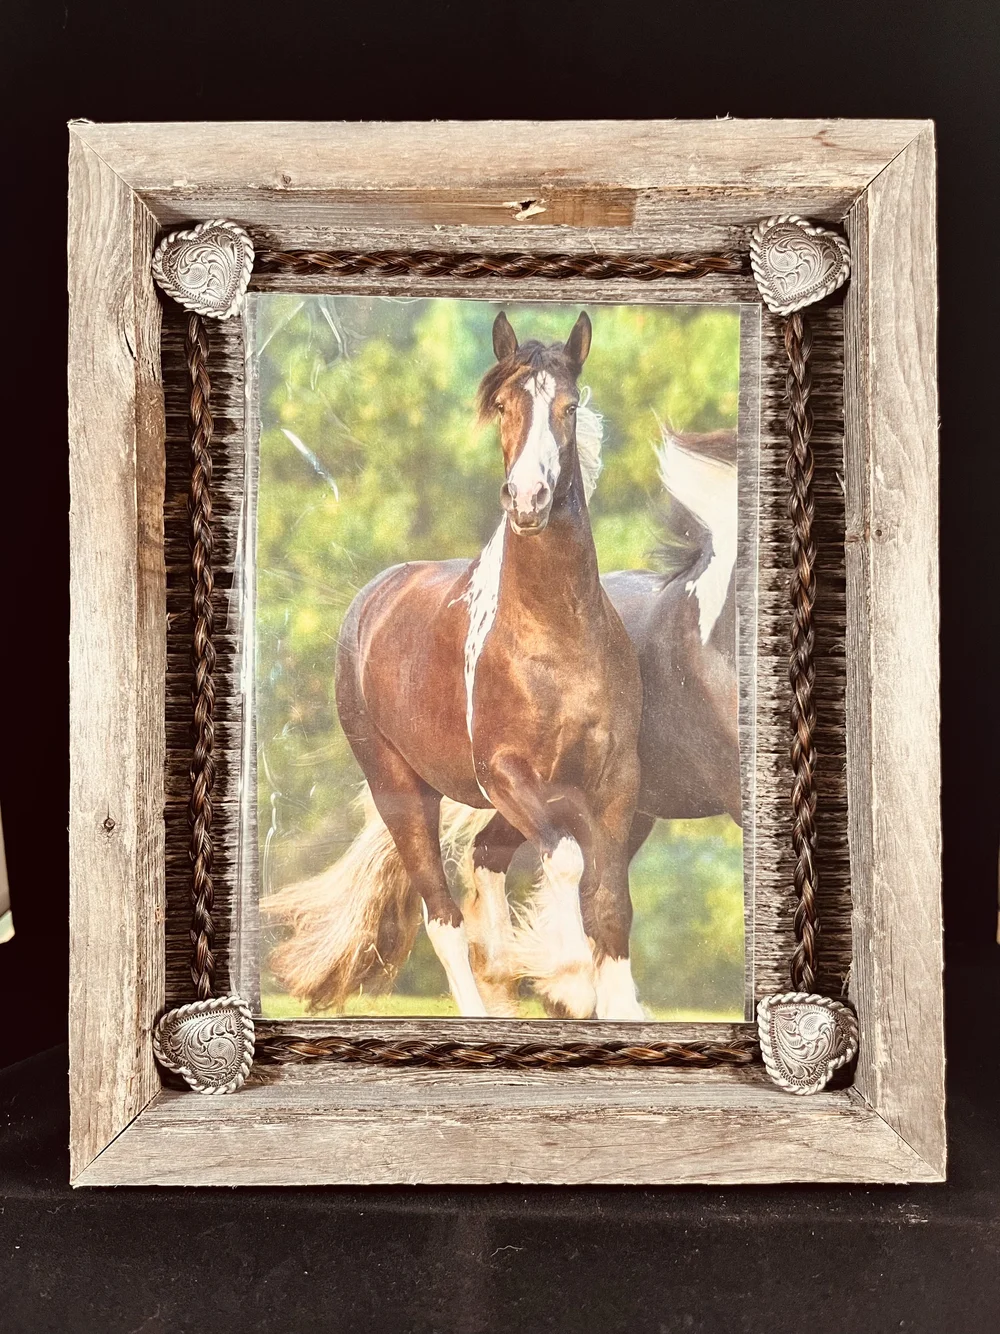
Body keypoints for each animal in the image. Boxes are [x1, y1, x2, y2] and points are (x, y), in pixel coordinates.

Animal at [264, 311, 646, 1021]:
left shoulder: (613, 780)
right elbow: (566, 861)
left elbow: (610, 902)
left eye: (569, 406)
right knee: (441, 915)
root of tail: (372, 600)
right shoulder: (506, 774)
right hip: (400, 789)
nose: (528, 499)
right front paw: (566, 974)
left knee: (481, 870)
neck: (554, 633)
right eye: (502, 406)